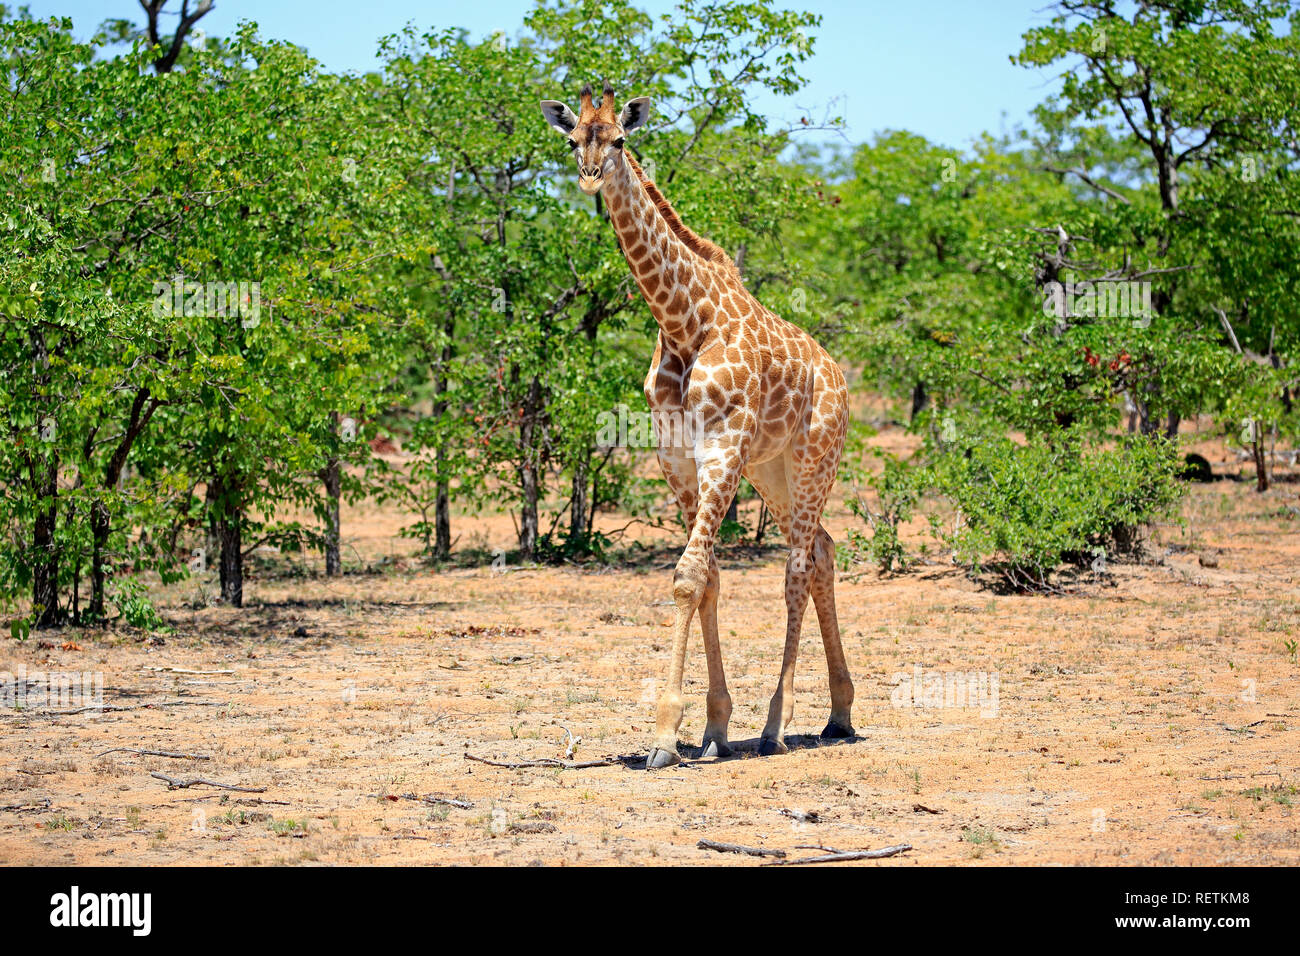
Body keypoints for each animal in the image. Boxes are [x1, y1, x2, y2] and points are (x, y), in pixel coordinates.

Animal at [541, 82, 854, 768]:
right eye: (573, 138)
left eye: (620, 139)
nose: (589, 177)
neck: (683, 319)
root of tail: (840, 376)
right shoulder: (678, 459)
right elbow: (708, 578)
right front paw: (711, 728)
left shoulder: (723, 450)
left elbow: (687, 577)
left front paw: (664, 737)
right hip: (774, 471)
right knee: (821, 549)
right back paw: (839, 715)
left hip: (814, 457)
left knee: (796, 565)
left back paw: (778, 724)